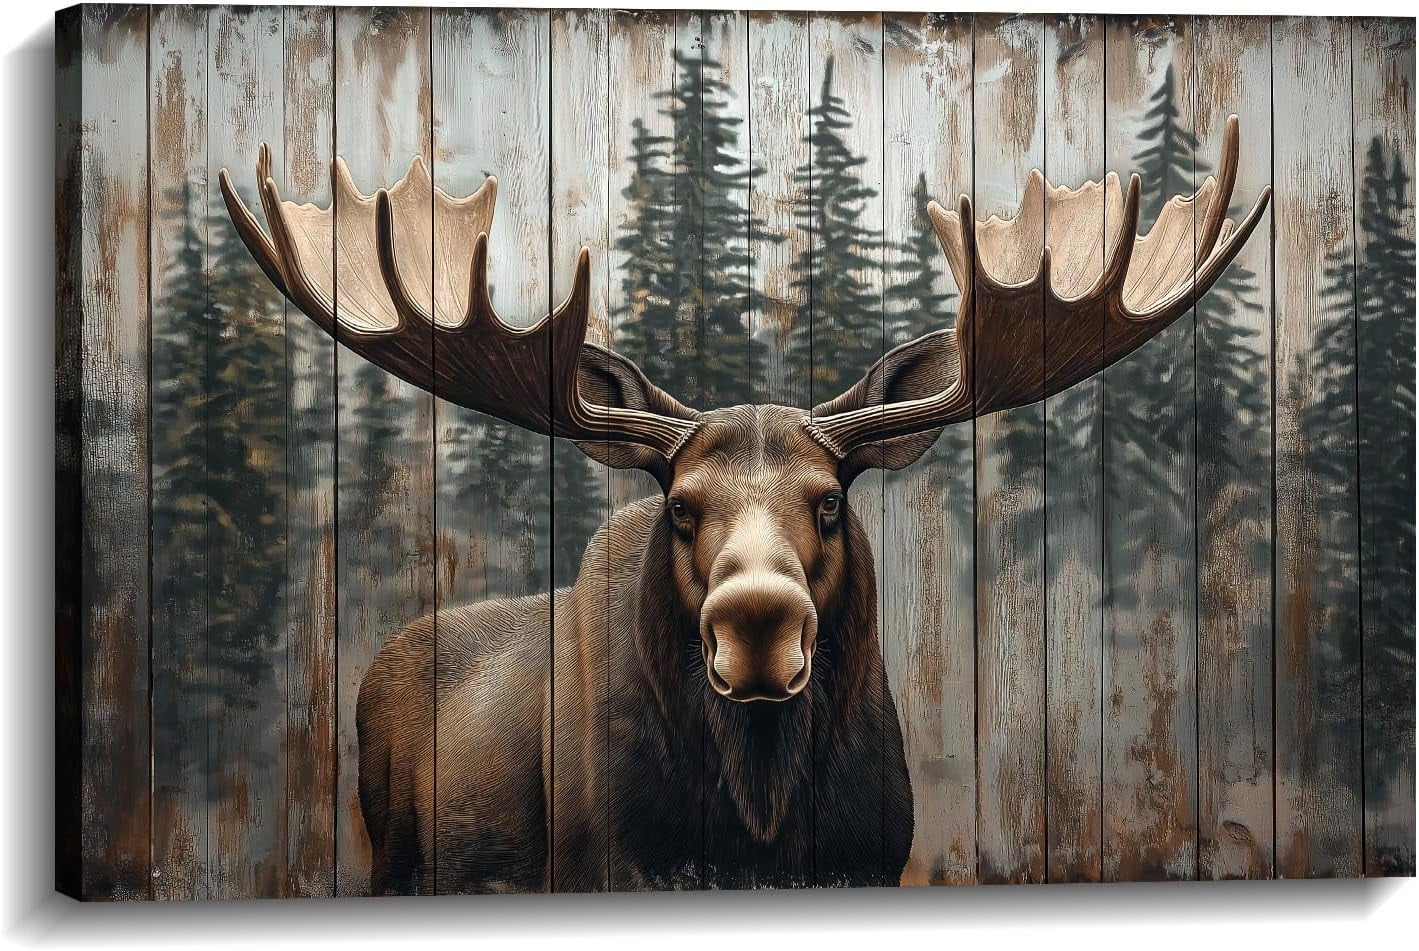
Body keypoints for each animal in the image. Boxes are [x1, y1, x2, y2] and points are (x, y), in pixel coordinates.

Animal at [220, 116, 1269, 894]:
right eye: (682, 506)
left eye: (830, 501)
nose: (758, 619)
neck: (759, 822)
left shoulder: (868, 864)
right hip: (392, 851)